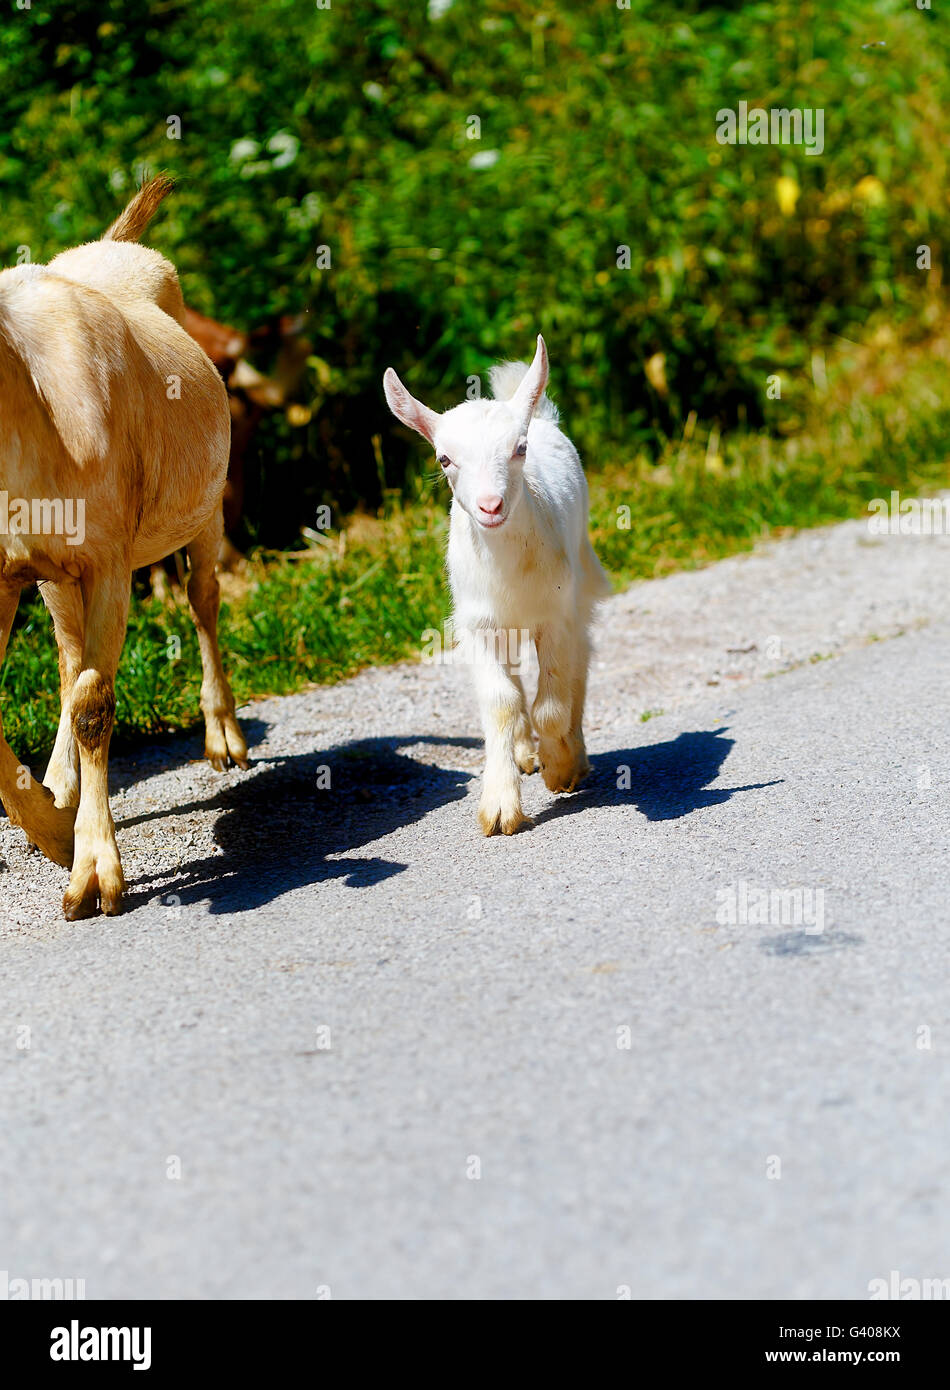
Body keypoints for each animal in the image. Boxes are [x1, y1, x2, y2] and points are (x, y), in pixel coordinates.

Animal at [0, 175, 247, 918]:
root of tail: (113, 246)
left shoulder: (108, 561)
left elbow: (95, 705)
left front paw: (92, 871)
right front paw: (53, 829)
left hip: (206, 505)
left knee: (202, 598)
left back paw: (224, 737)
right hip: (51, 574)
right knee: (69, 656)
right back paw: (61, 786)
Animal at [383, 336, 610, 835]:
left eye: (519, 449)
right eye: (444, 458)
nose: (490, 506)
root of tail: (542, 417)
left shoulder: (555, 616)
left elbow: (551, 703)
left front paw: (558, 768)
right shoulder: (479, 624)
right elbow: (503, 701)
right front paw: (502, 805)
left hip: (582, 580)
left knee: (579, 666)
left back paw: (574, 755)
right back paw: (525, 753)